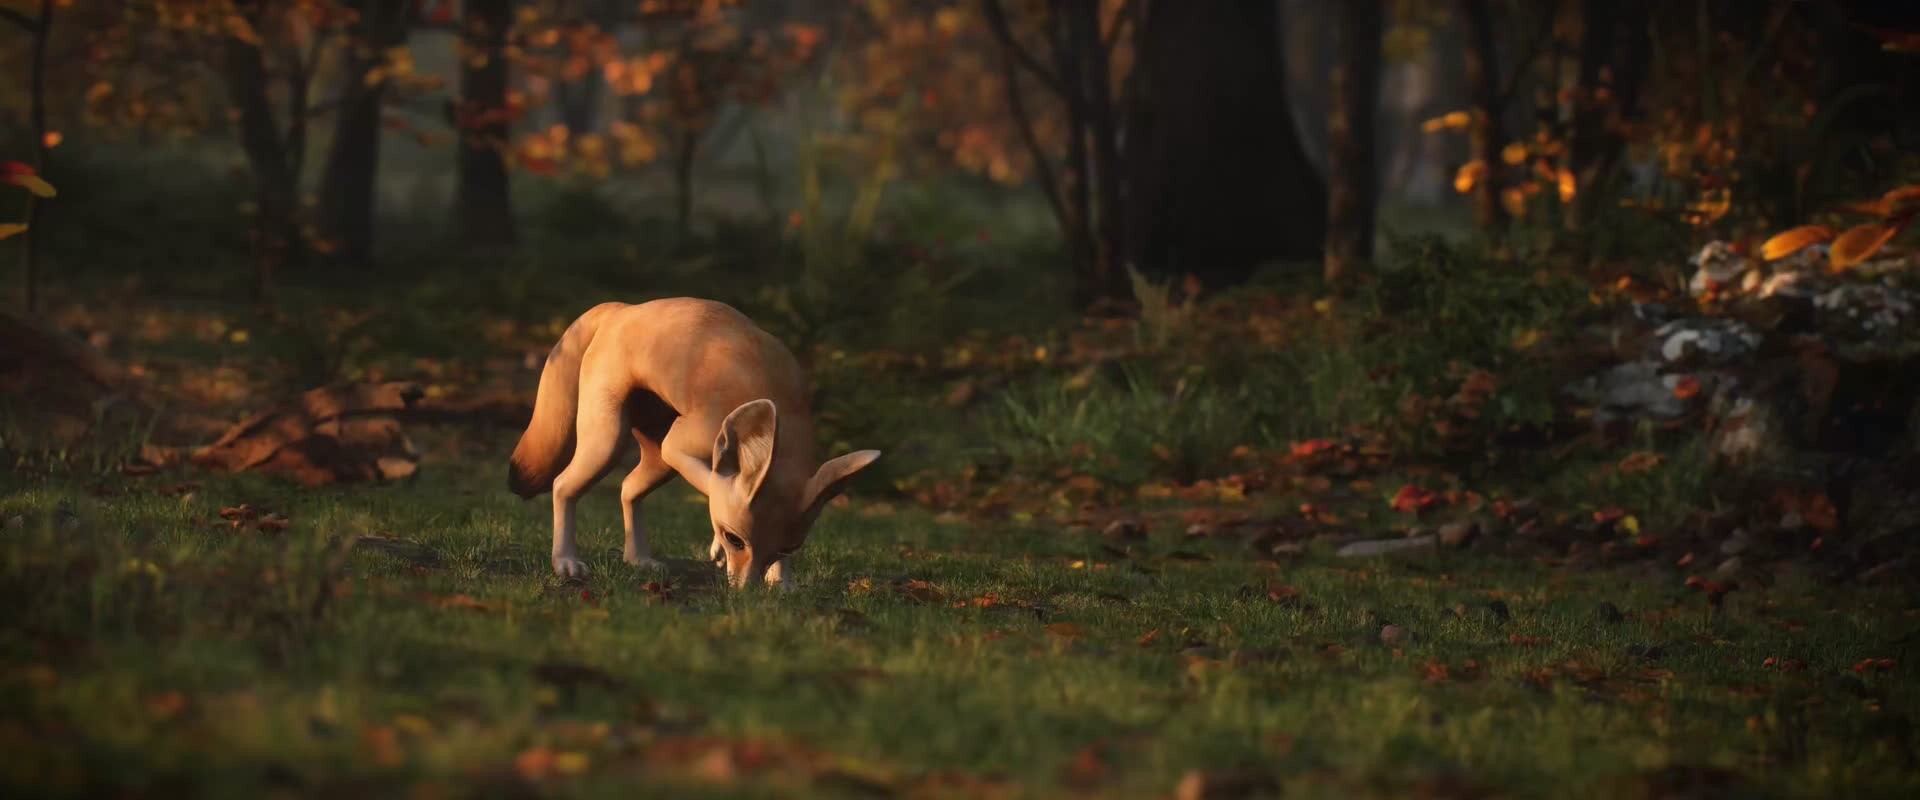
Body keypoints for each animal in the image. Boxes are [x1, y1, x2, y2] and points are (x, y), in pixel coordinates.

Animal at [507, 298, 880, 588]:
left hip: (656, 460)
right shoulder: (682, 445)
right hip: (608, 440)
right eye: (734, 539)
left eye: (787, 549)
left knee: (627, 488)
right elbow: (714, 484)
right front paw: (718, 546)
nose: (746, 594)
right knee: (562, 485)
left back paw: (638, 559)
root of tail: (621, 310)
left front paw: (782, 581)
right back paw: (565, 562)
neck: (781, 402)